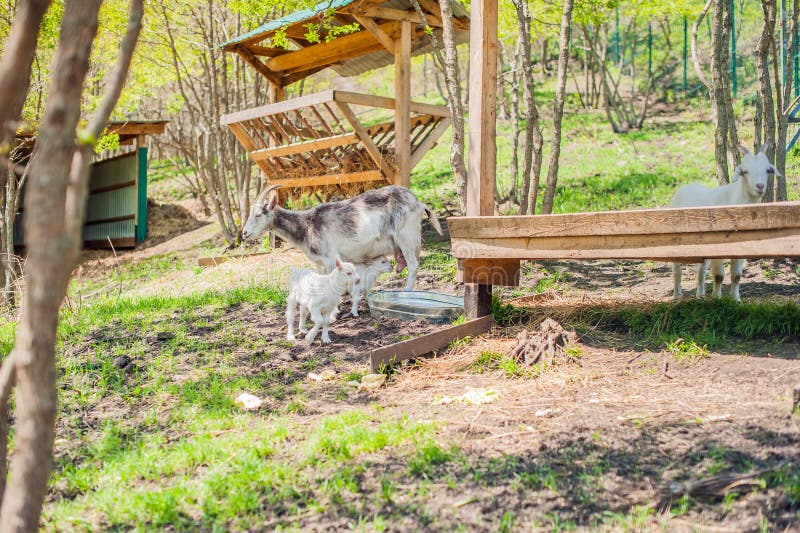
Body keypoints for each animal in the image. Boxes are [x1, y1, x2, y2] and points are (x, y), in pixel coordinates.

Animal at [242, 185, 443, 290]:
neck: (307, 225)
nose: (244, 233)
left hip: (407, 237)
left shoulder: (332, 259)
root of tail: (419, 203)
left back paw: (407, 291)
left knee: (413, 264)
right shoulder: (320, 263)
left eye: (259, 214)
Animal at [670, 143, 780, 302]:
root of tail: (685, 188)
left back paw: (700, 294)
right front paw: (717, 299)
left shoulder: (740, 248)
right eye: (745, 171)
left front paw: (736, 300)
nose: (760, 186)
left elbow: (736, 276)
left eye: (767, 170)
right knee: (677, 268)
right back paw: (677, 295)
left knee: (701, 269)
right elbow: (719, 276)